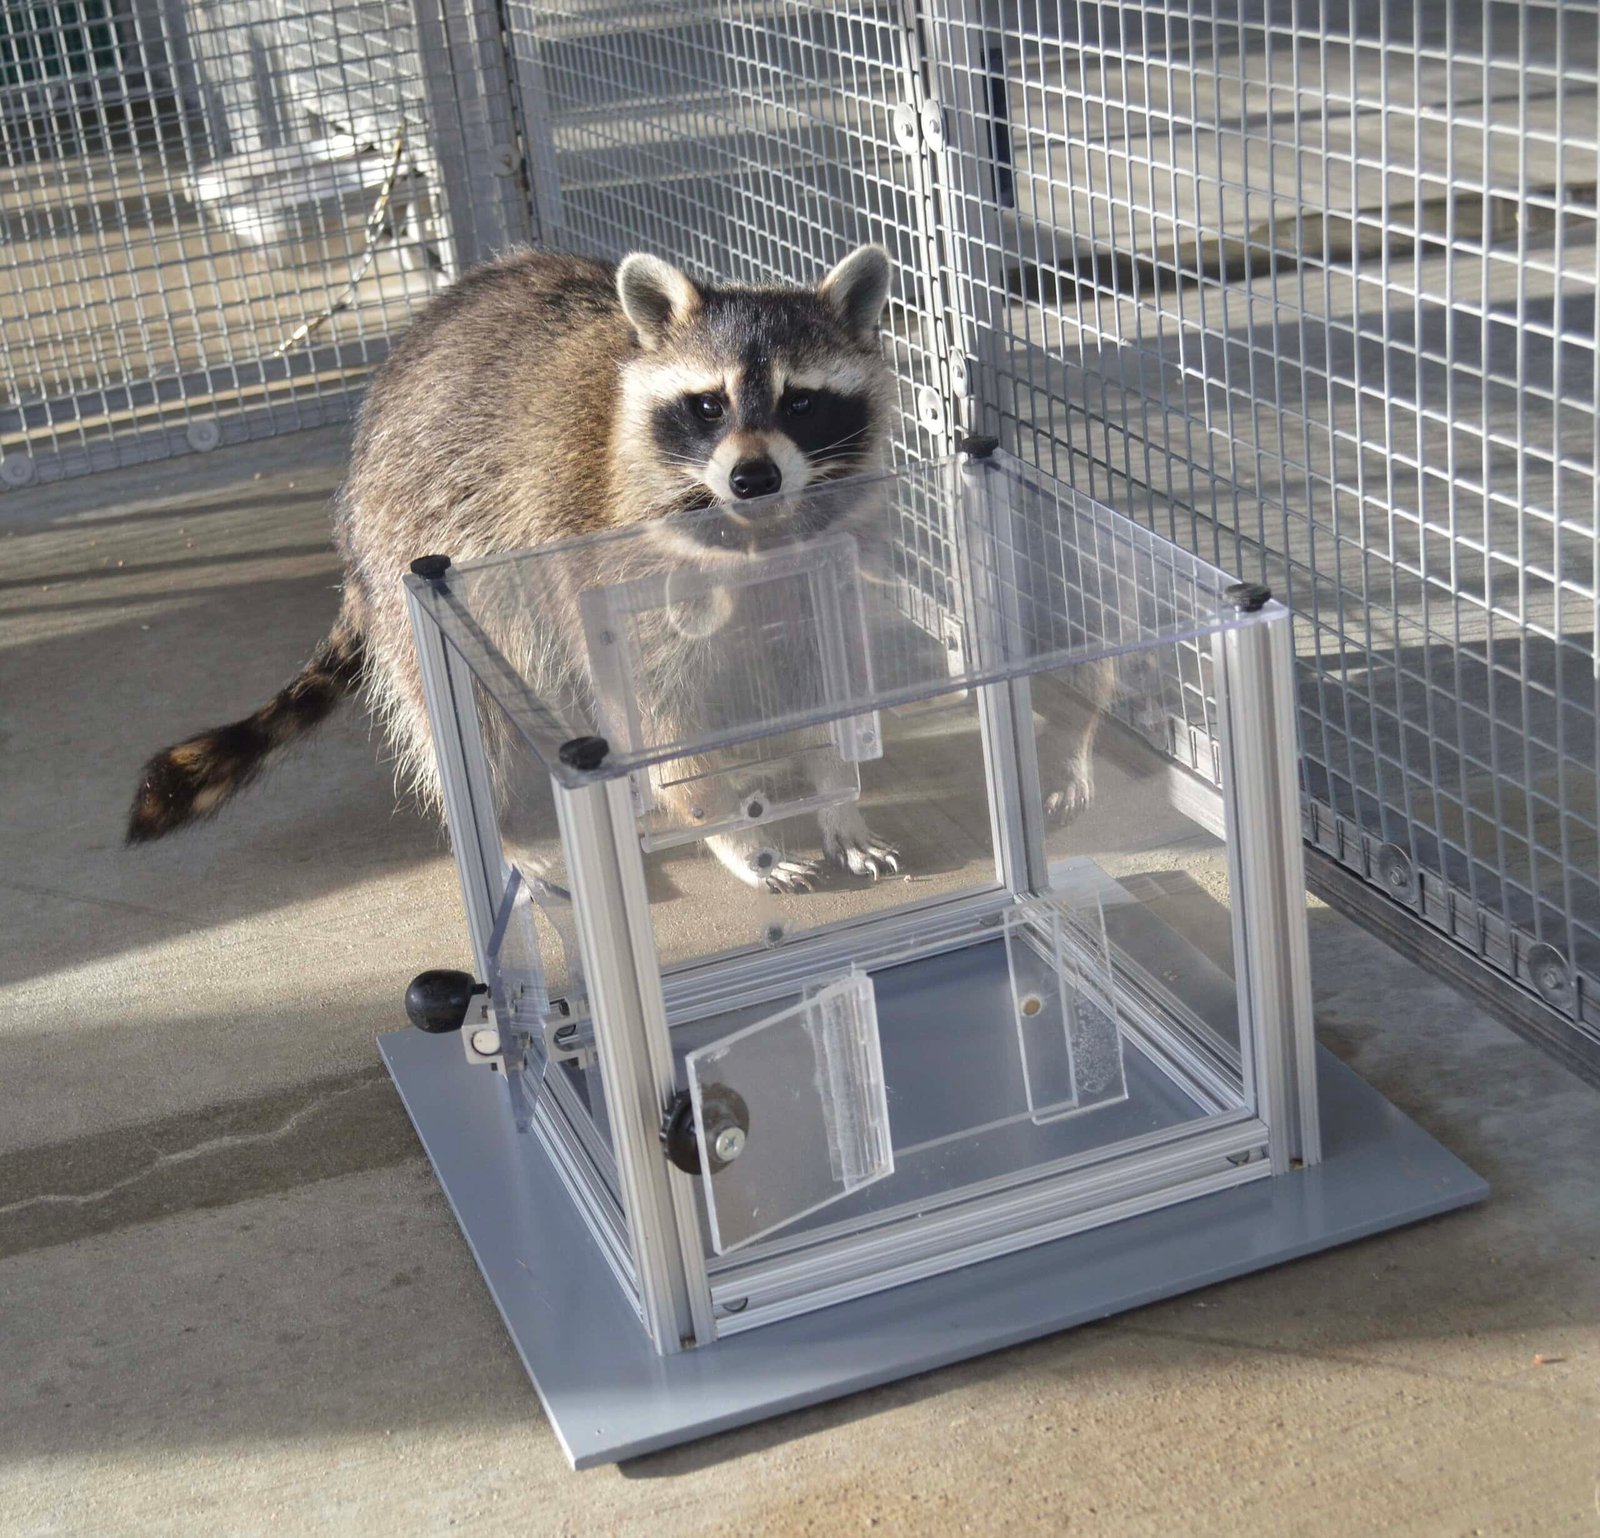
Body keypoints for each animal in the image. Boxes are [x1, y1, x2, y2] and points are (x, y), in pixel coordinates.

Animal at [125, 244, 907, 886]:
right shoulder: (609, 564)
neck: (751, 534)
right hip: (411, 558)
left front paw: (838, 792)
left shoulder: (826, 567)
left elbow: (823, 677)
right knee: (463, 722)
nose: (753, 478)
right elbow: (655, 717)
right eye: (708, 405)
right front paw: (732, 828)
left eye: (800, 402)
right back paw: (500, 831)